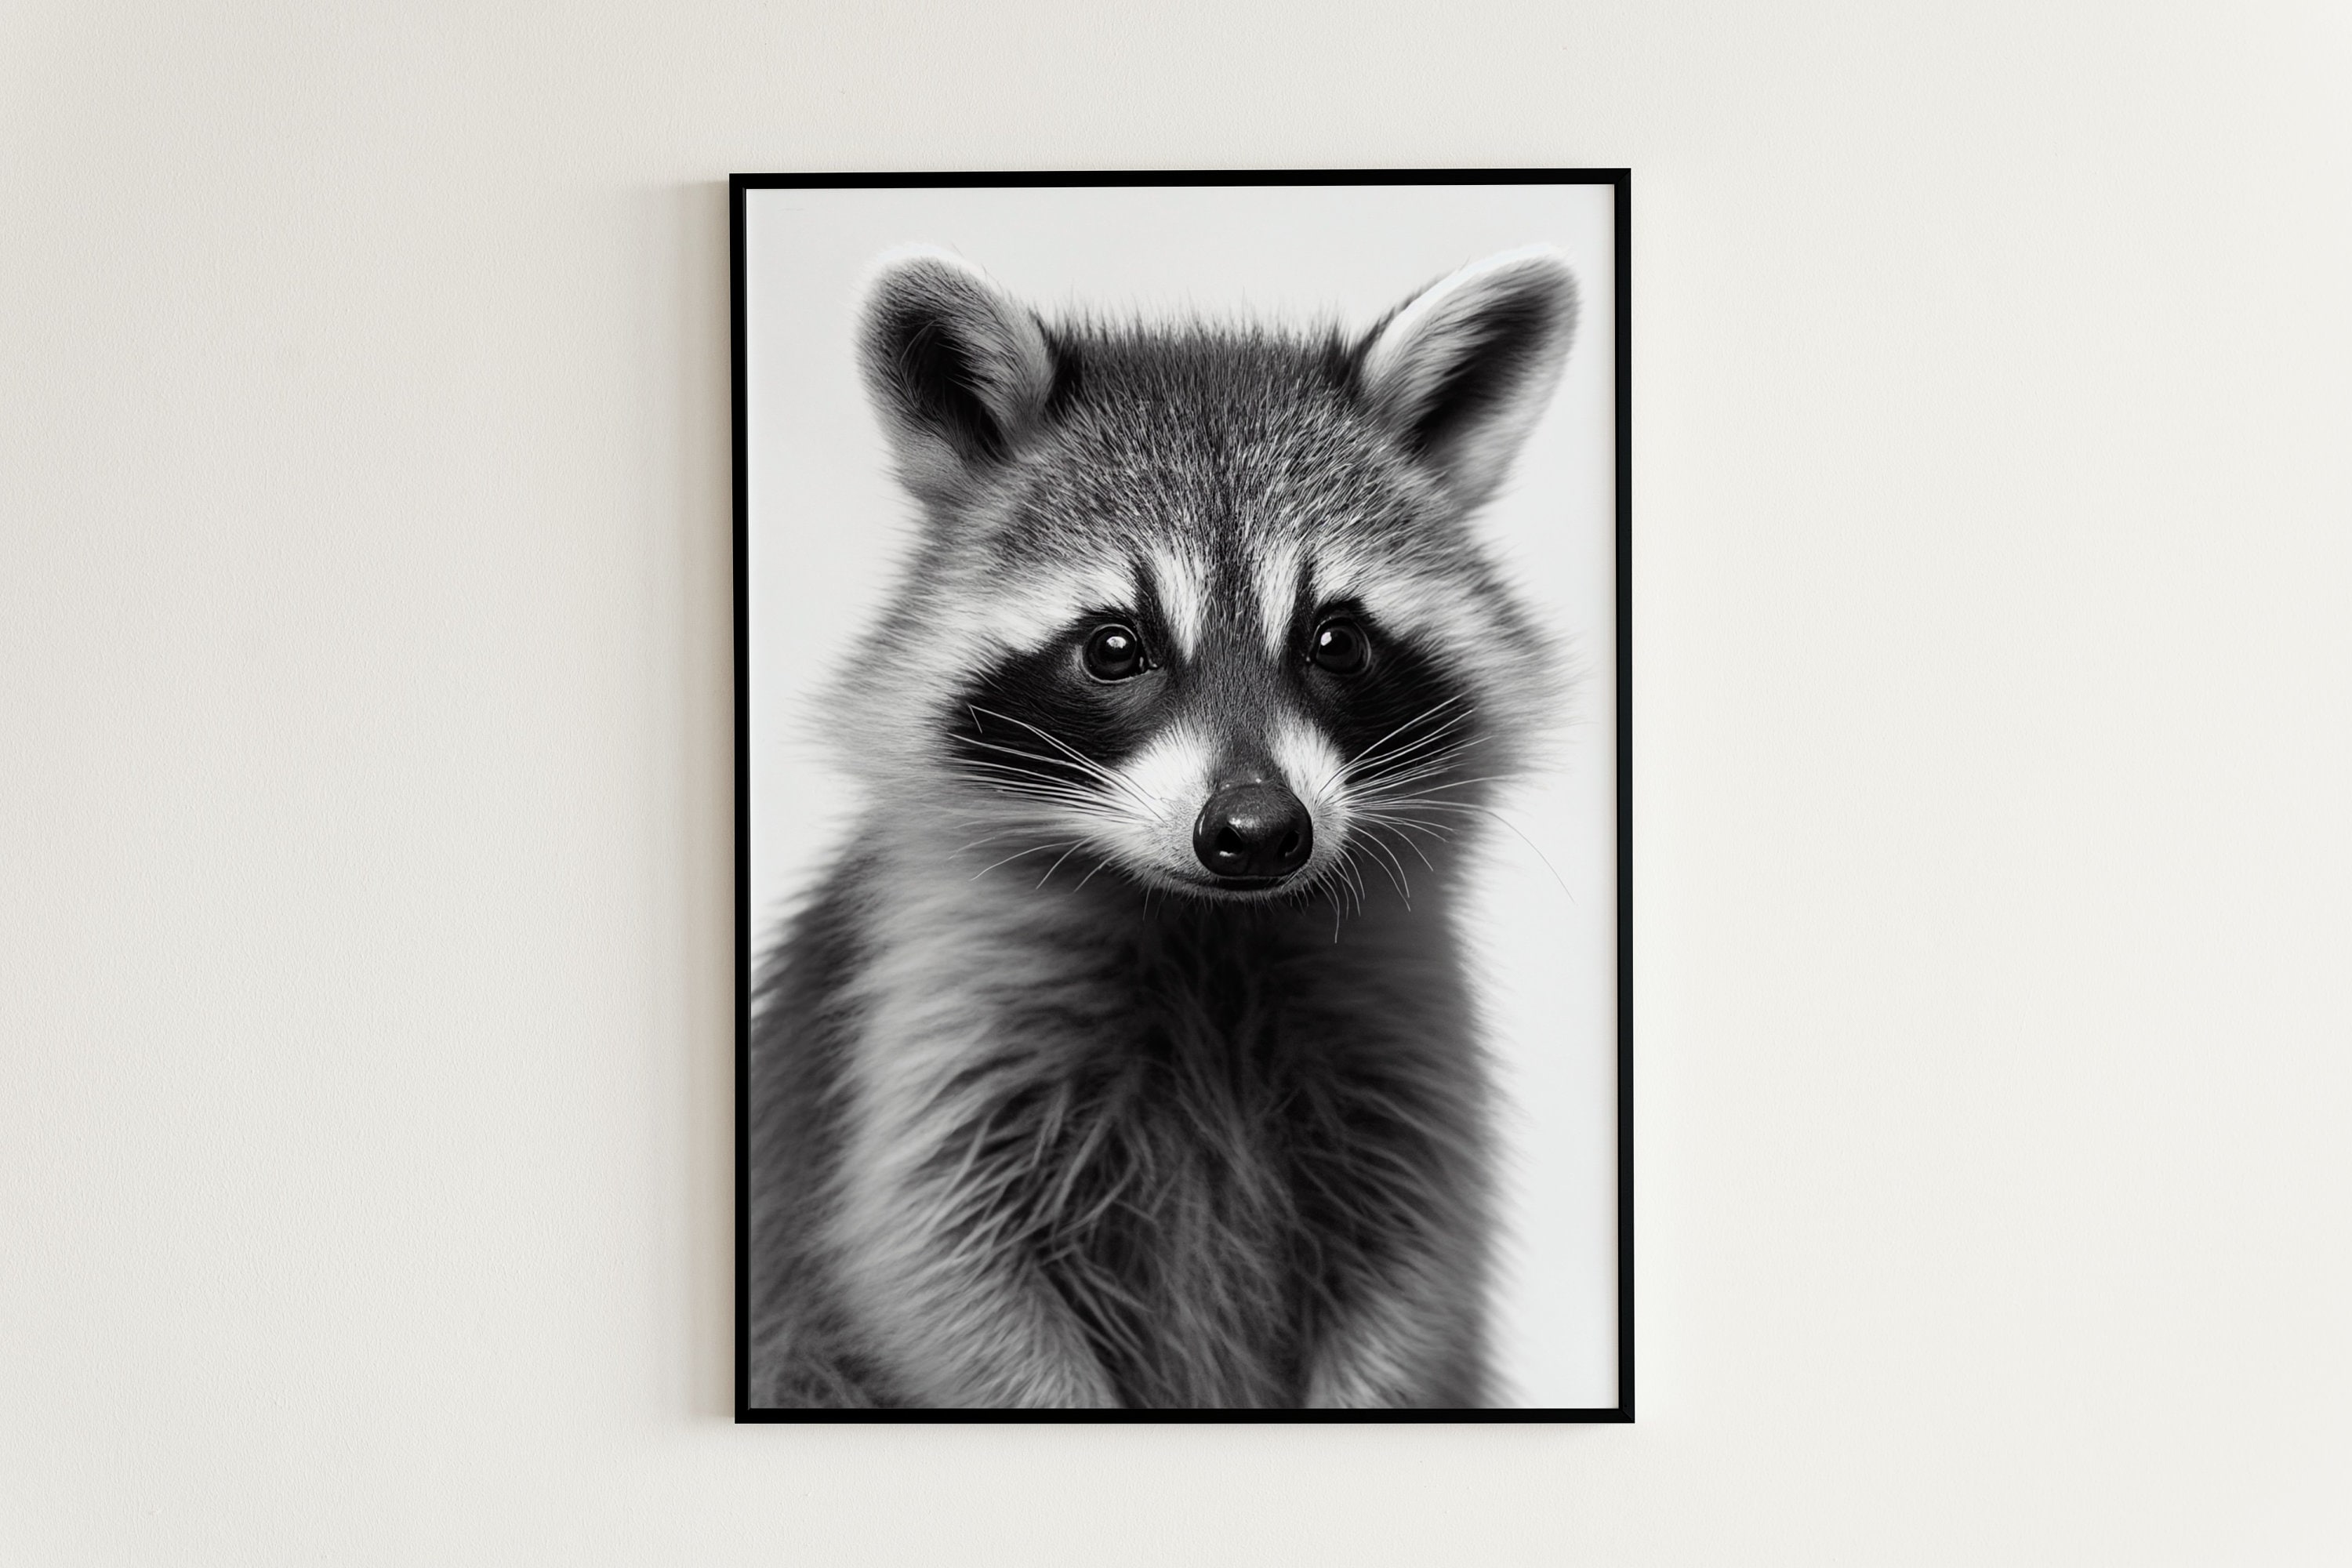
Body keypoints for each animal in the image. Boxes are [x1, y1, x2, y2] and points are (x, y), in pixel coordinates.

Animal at [747, 243, 1579, 1409]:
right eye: (1115, 647)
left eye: (1335, 640)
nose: (1258, 830)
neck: (1207, 928)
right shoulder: (928, 1022)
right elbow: (932, 1275)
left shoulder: (1401, 1039)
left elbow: (1417, 1292)